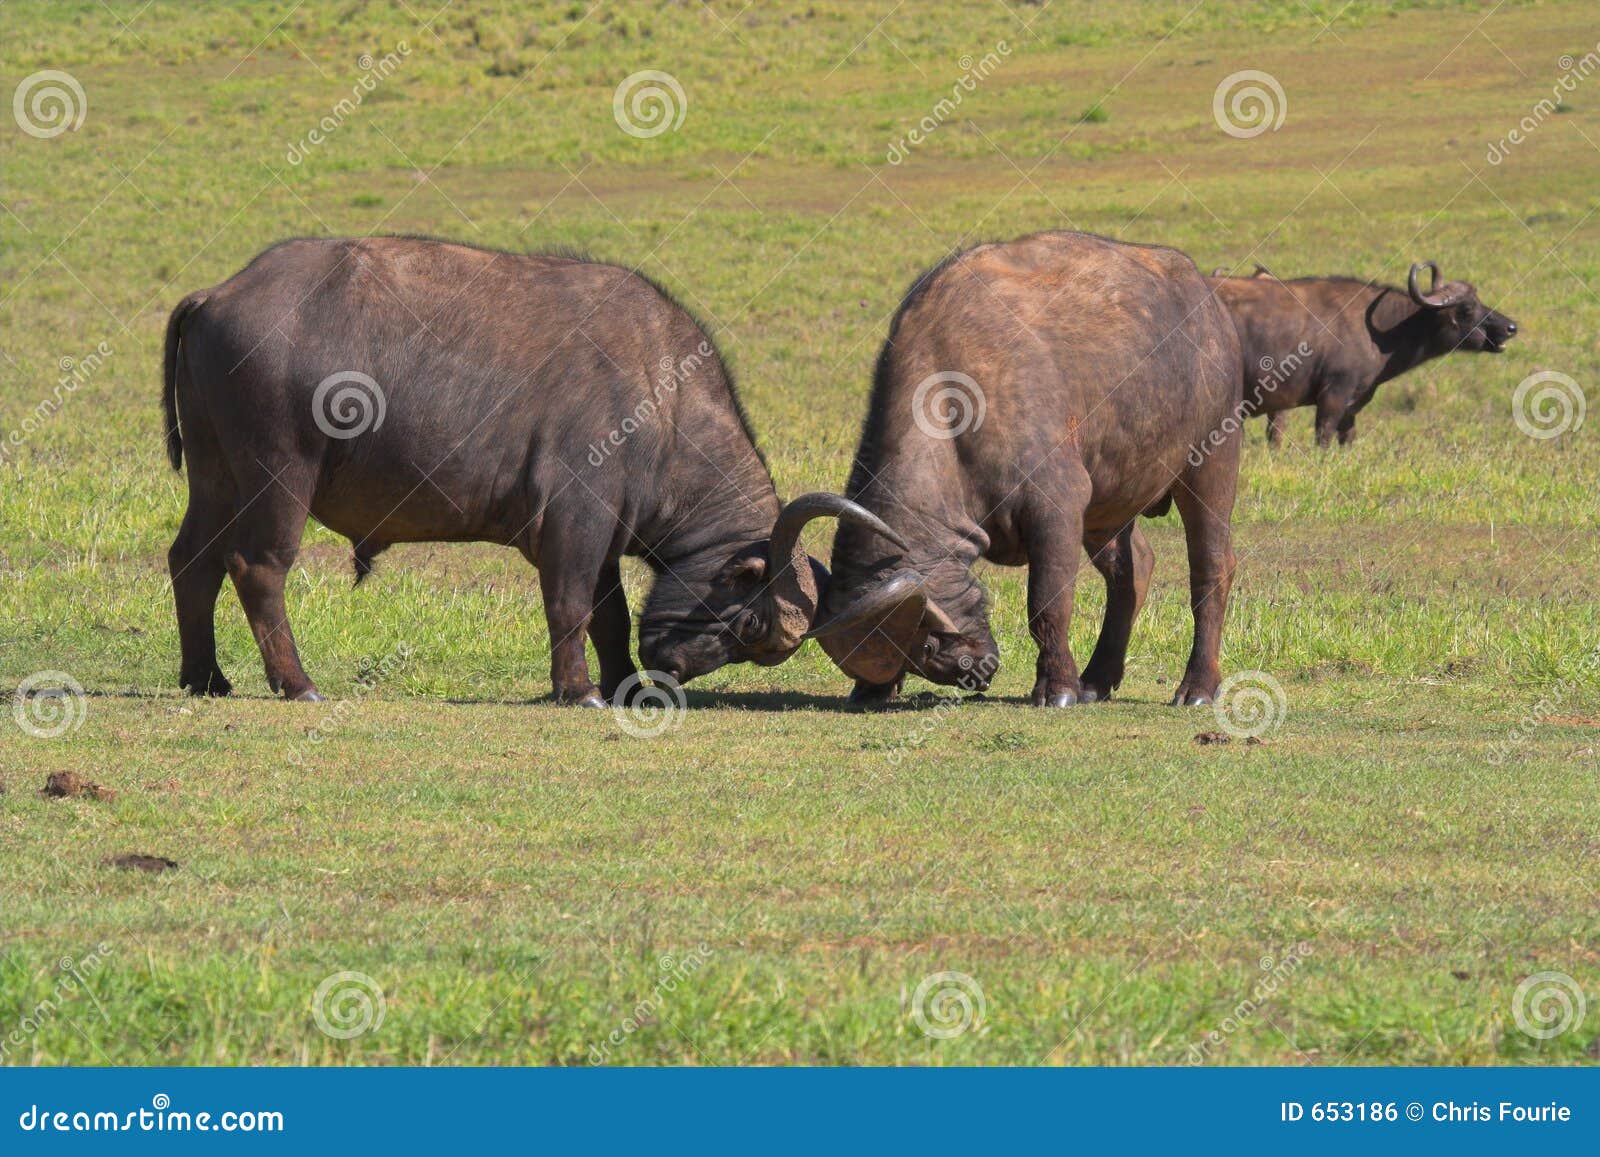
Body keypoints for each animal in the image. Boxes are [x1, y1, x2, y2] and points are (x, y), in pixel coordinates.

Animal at [162, 236, 903, 705]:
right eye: (750, 627)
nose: (672, 668)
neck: (660, 401)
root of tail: (218, 294)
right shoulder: (574, 523)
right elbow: (570, 607)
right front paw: (579, 691)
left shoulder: (604, 536)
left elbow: (609, 616)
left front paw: (619, 683)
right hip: (278, 475)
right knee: (257, 566)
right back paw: (297, 683)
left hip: (215, 476)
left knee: (191, 560)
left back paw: (206, 676)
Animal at [809, 231, 1243, 708]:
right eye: (905, 653)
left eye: (924, 643)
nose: (974, 673)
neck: (951, 398)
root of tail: (1208, 301)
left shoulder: (1058, 506)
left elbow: (1046, 604)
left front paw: (1057, 688)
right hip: (1110, 502)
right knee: (1132, 570)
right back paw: (1097, 678)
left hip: (1211, 462)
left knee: (1211, 567)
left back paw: (1197, 687)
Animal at [1207, 261, 1518, 447]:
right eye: (1466, 309)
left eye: (1479, 300)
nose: (1510, 327)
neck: (1381, 331)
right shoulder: (1333, 396)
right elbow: (1323, 437)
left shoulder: (1354, 404)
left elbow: (1348, 437)